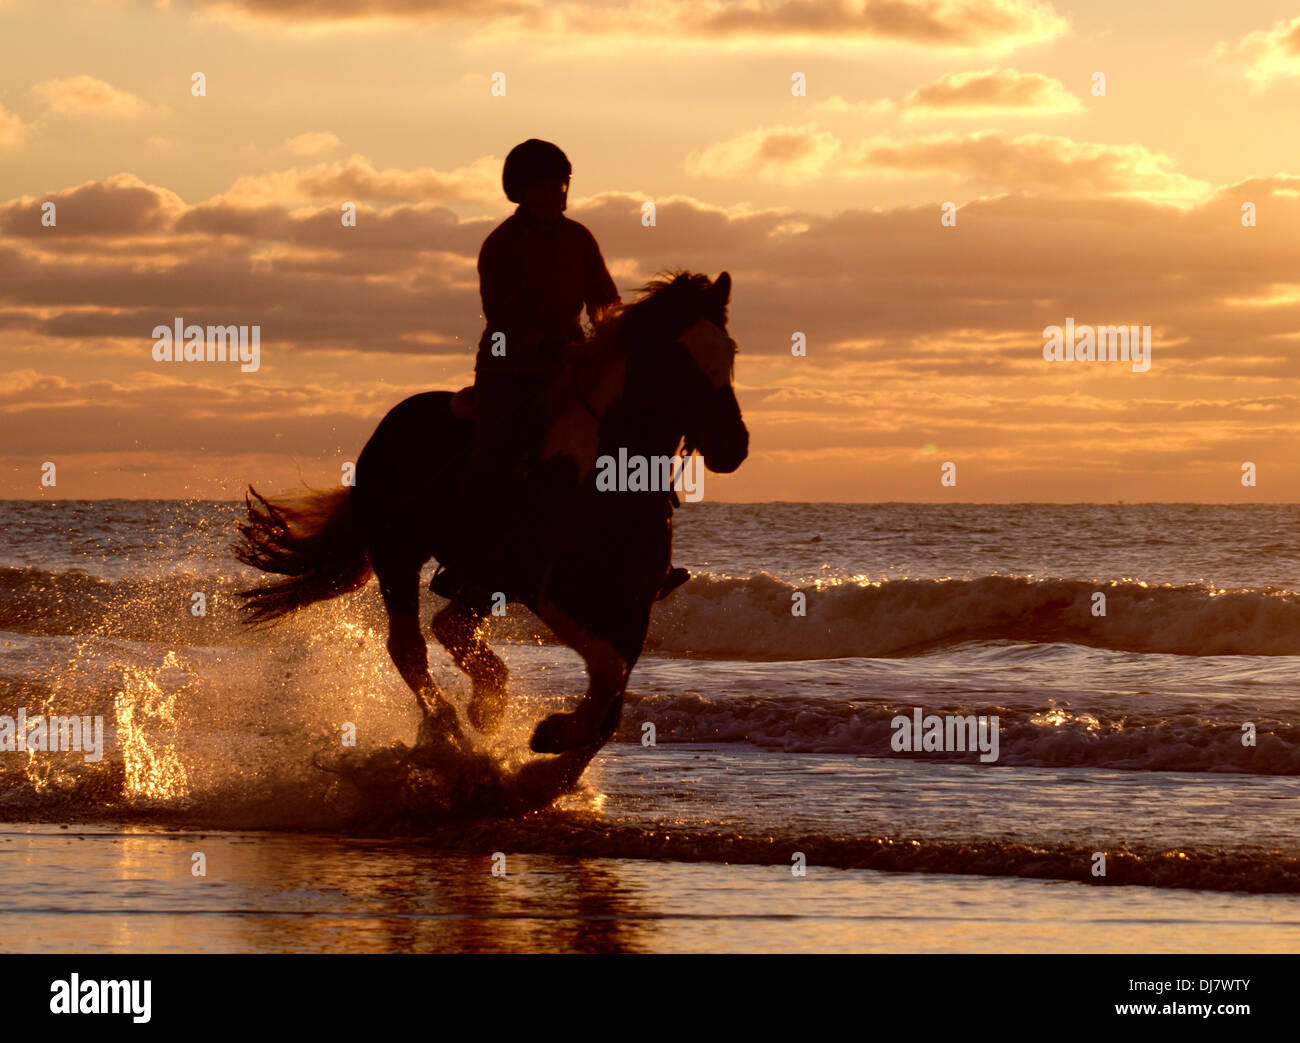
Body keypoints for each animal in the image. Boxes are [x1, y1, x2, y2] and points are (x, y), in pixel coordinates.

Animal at [232, 270, 748, 766]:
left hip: (473, 579)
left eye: (730, 351)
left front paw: (556, 756)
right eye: (676, 359)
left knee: (451, 625)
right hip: (398, 554)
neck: (603, 479)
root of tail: (394, 422)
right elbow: (606, 670)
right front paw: (549, 740)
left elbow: (613, 691)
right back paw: (450, 730)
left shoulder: (633, 602)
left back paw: (486, 704)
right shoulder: (549, 593)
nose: (733, 446)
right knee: (410, 647)